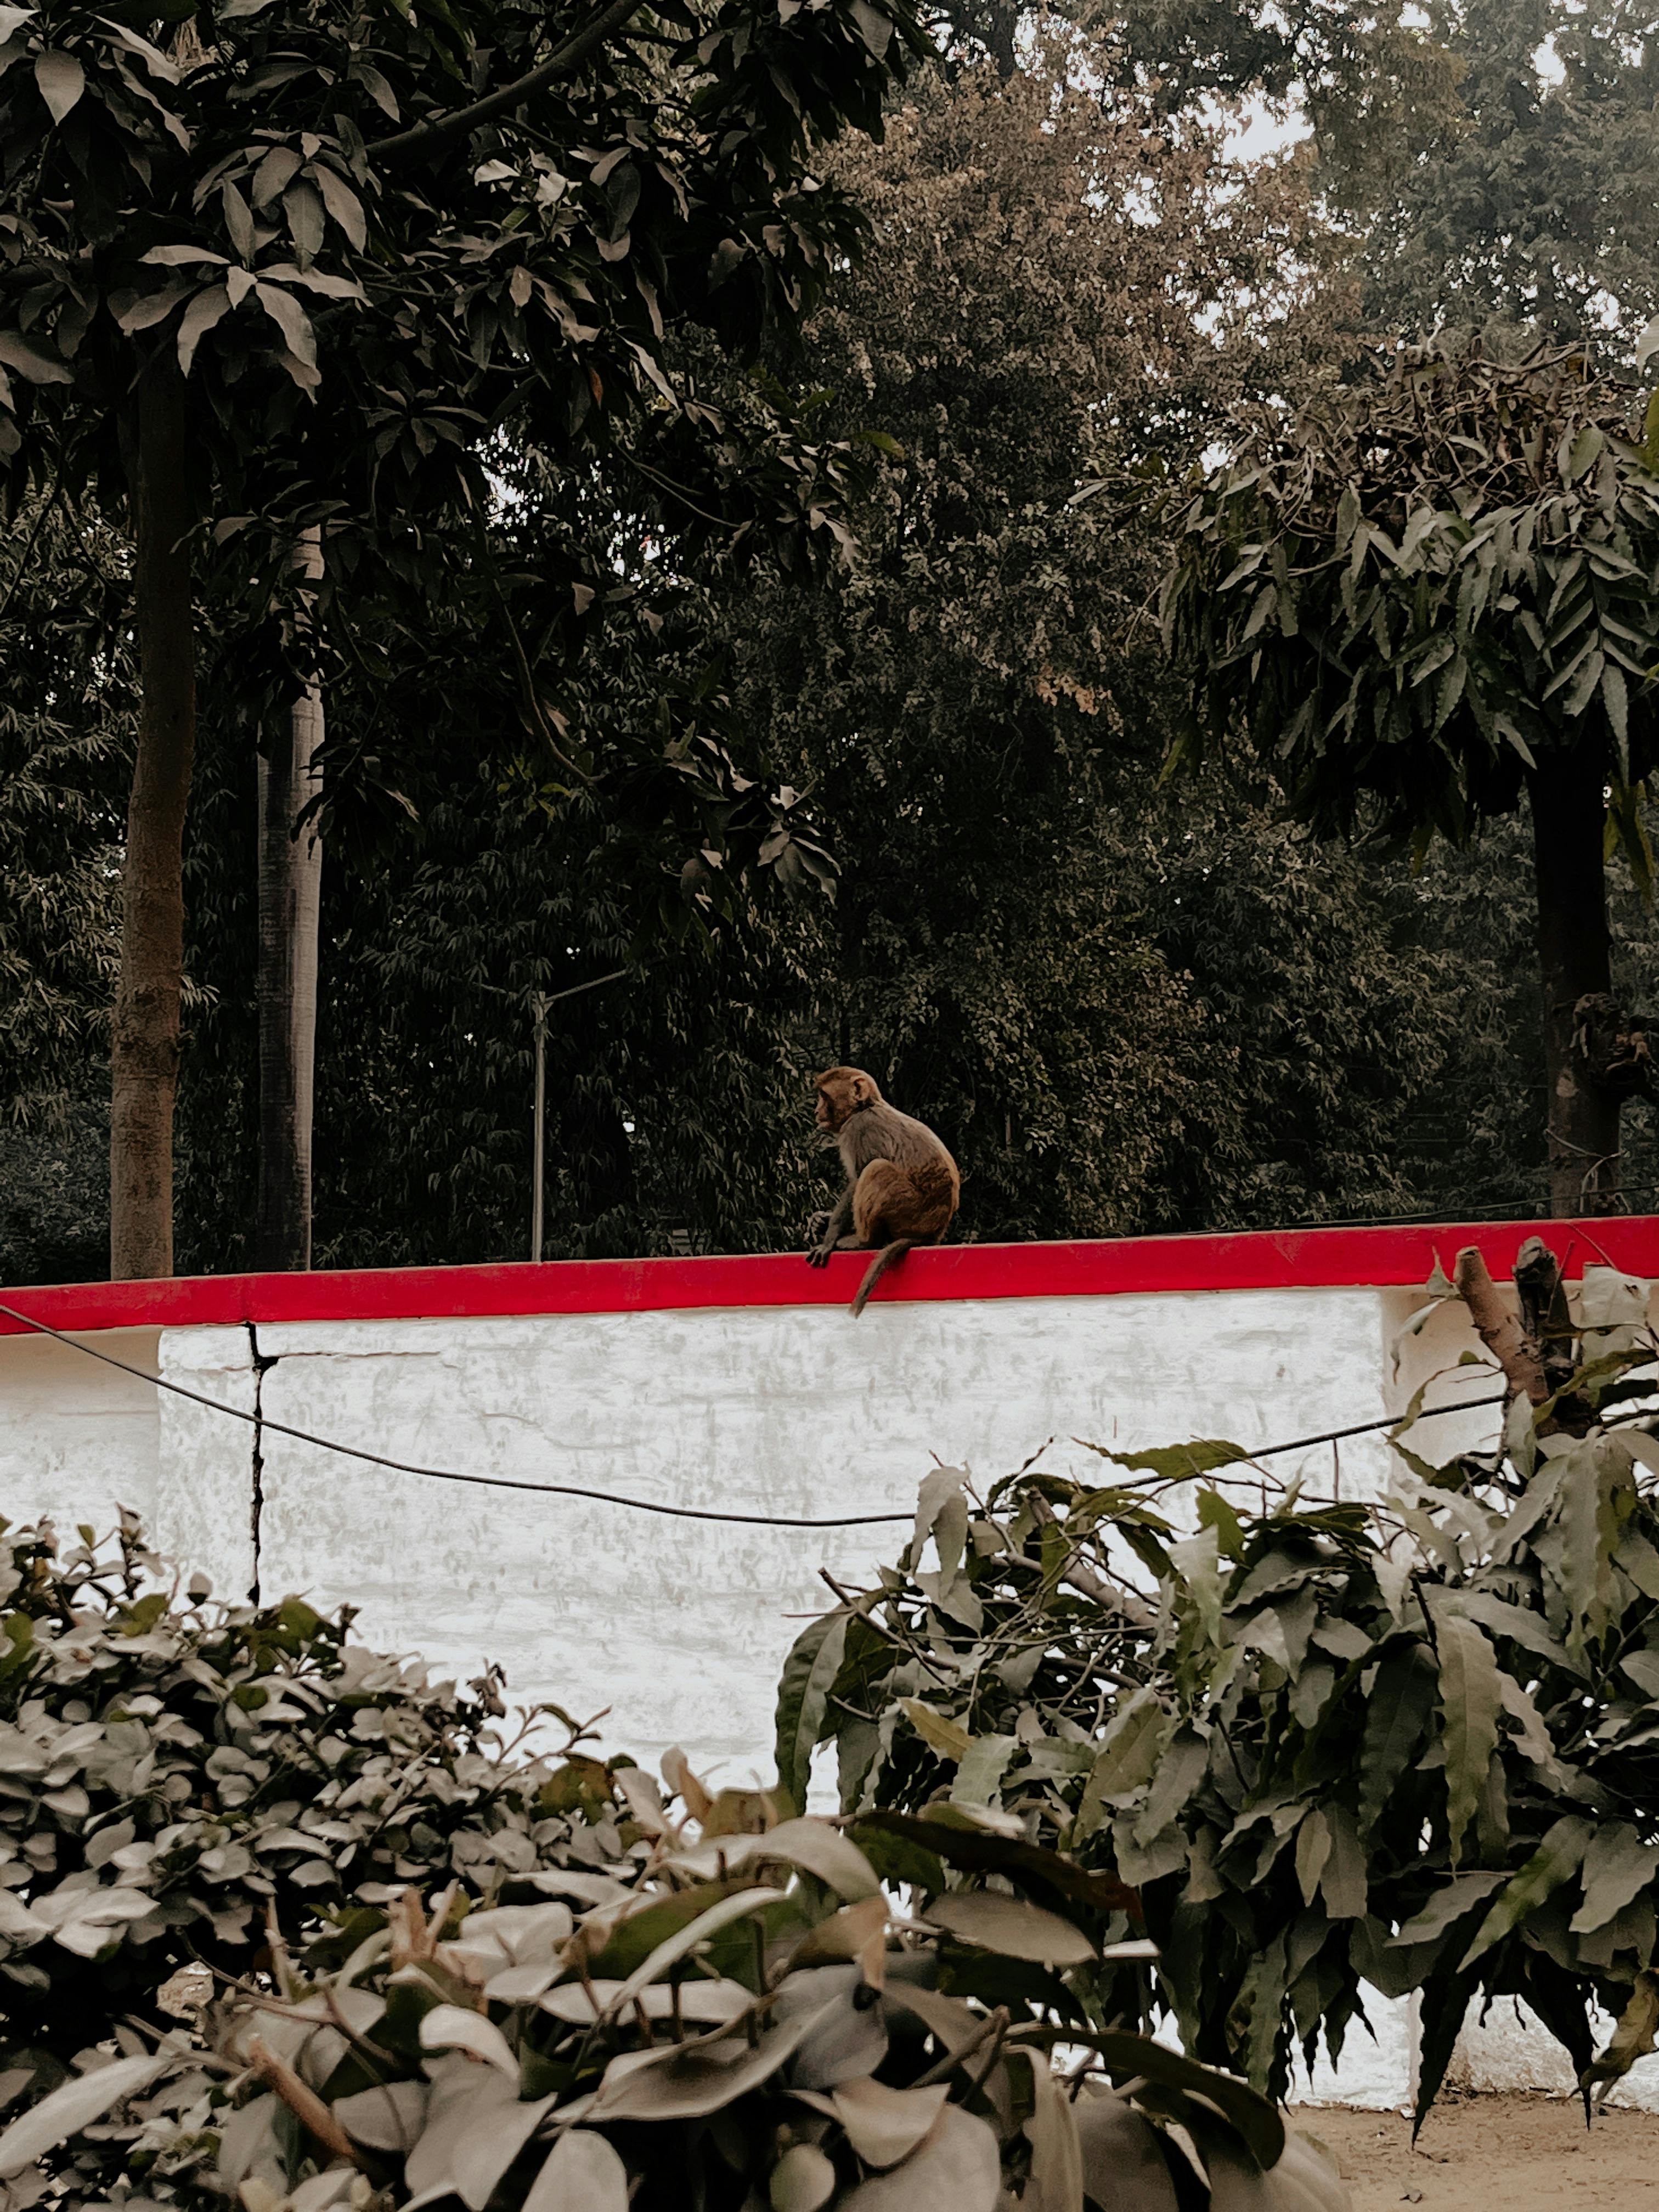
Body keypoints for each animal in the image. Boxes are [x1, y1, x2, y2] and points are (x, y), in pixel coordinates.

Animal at [806, 1066, 960, 1316]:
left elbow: (857, 1179)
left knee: (876, 1168)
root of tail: (935, 1230)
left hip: (911, 1210)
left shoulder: (858, 1129)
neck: (865, 1107)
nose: (817, 1110)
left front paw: (829, 1238)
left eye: (824, 1096)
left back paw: (864, 1241)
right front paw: (822, 1221)